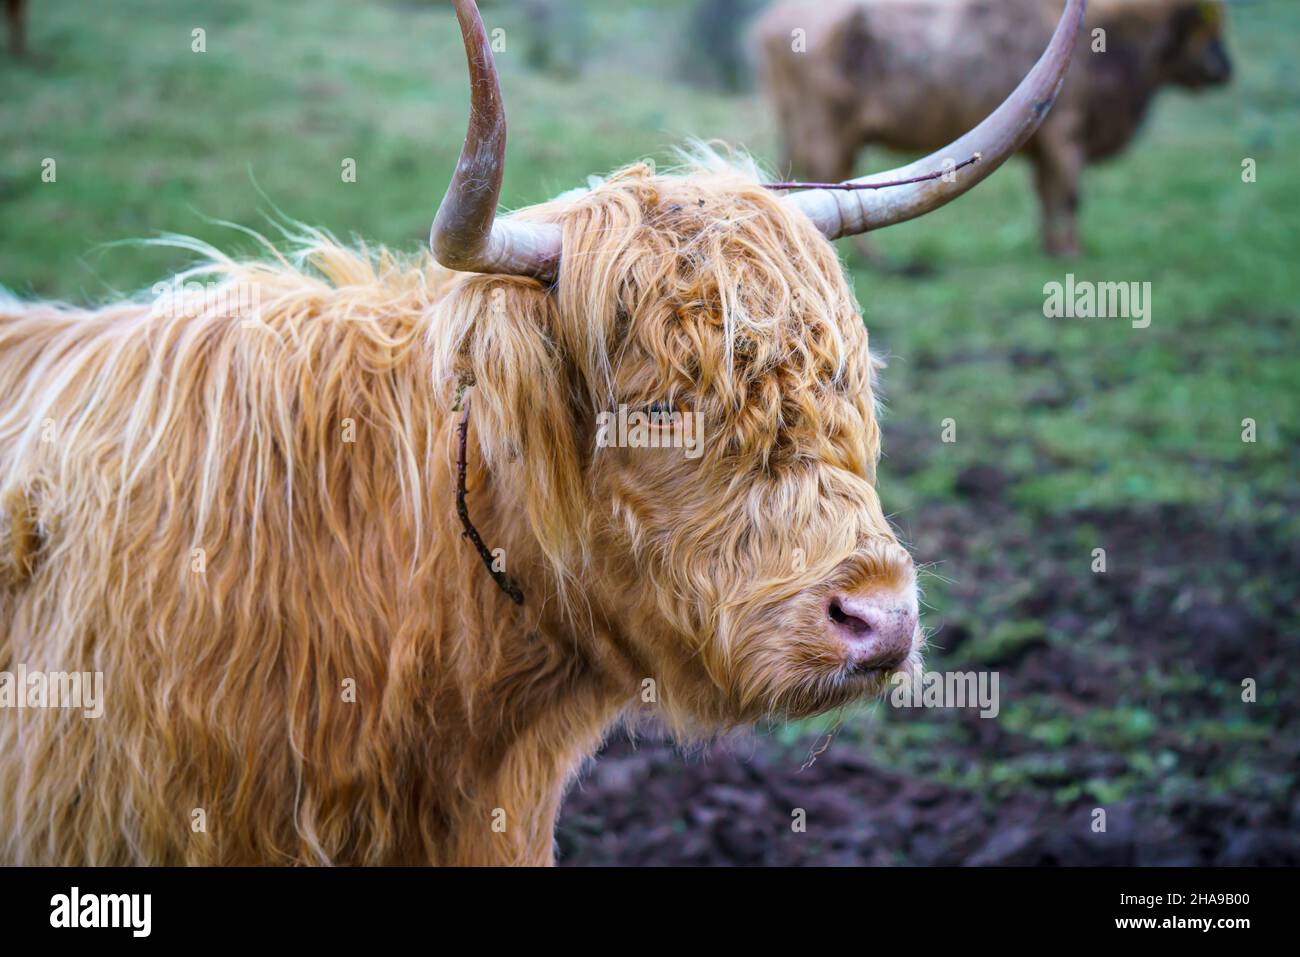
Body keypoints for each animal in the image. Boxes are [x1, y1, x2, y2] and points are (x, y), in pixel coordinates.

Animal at [756, 0, 1232, 257]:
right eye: (1204, 27)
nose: (1225, 69)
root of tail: (774, 23)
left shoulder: (1045, 141)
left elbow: (1046, 194)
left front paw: (1051, 247)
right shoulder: (1066, 131)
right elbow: (1070, 194)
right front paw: (1071, 251)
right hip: (824, 126)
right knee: (831, 176)